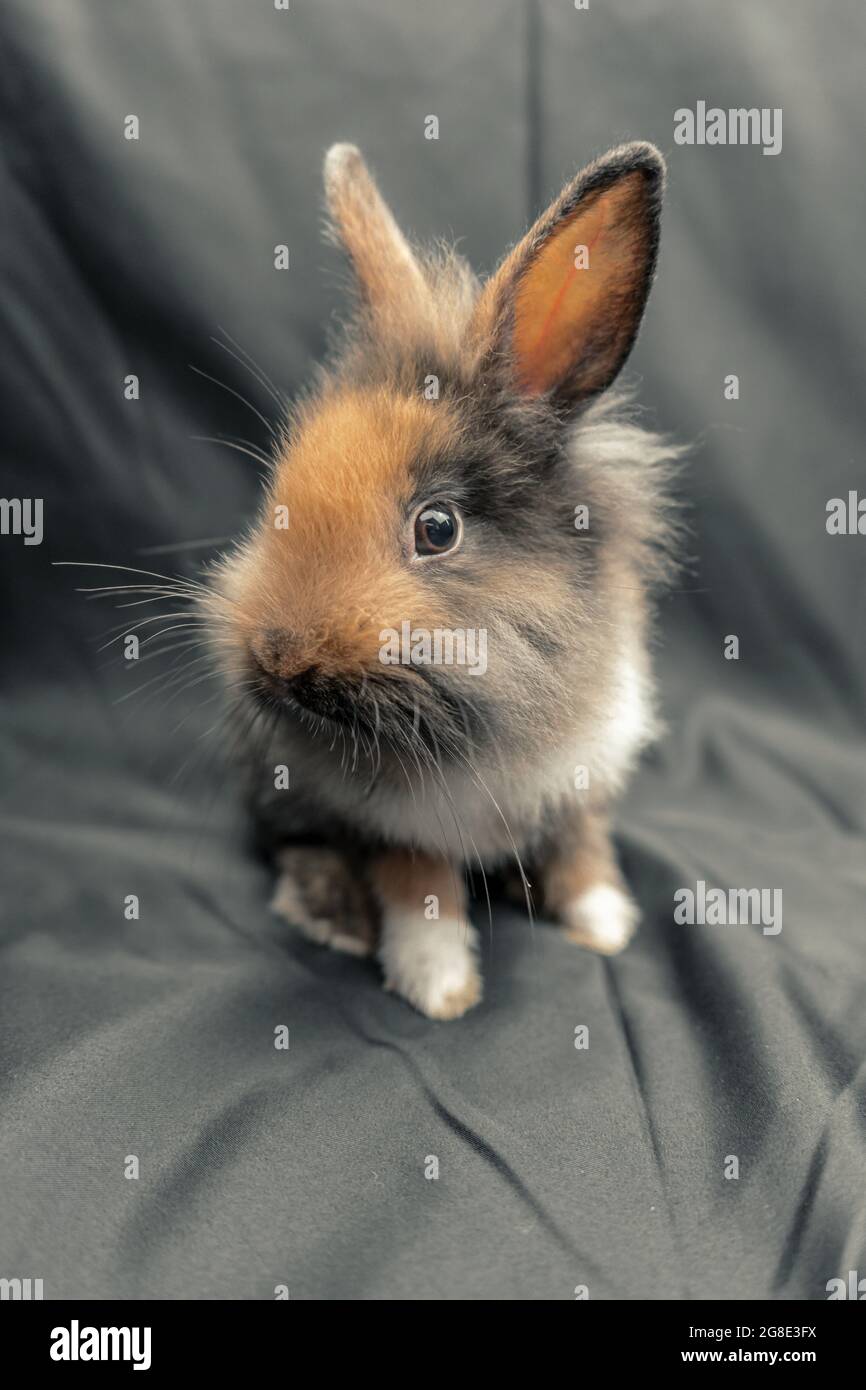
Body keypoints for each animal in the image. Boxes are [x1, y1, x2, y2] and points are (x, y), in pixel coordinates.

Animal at [203, 141, 680, 1020]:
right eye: (278, 495)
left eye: (437, 529)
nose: (279, 658)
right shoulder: (391, 827)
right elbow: (418, 888)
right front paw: (441, 987)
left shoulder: (584, 777)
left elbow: (583, 842)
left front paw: (604, 922)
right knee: (294, 844)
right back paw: (332, 914)